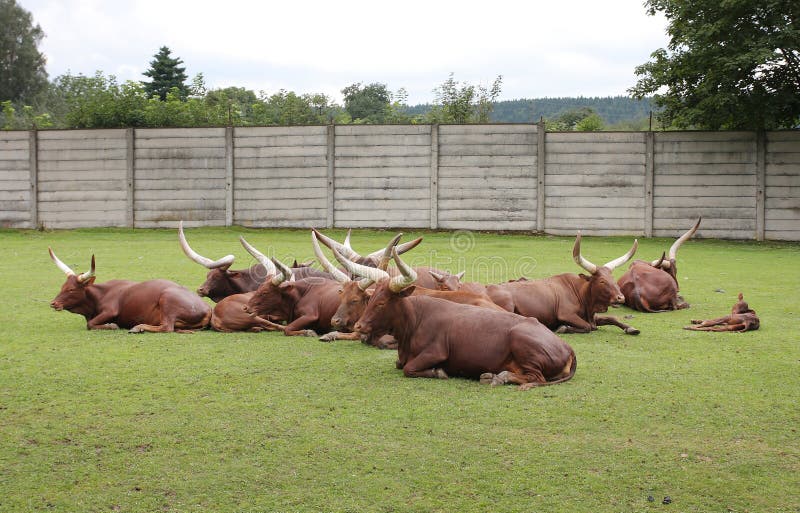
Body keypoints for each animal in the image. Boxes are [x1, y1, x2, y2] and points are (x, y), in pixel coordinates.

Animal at [48, 248, 211, 333]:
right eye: (62, 287)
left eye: (71, 289)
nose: (53, 303)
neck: (99, 295)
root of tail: (208, 308)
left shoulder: (110, 310)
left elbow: (91, 324)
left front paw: (111, 325)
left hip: (167, 298)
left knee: (167, 327)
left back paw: (138, 327)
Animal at [337, 246, 576, 389]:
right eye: (371, 298)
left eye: (381, 302)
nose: (358, 326)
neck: (416, 319)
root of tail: (567, 347)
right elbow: (399, 364)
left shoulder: (436, 352)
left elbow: (407, 368)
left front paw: (439, 372)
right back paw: (493, 376)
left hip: (522, 342)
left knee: (537, 378)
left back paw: (500, 377)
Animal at [488, 234, 641, 334]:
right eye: (602, 281)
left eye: (613, 278)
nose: (621, 298)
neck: (581, 294)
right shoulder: (566, 314)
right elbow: (588, 327)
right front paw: (563, 328)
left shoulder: (591, 315)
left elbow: (611, 318)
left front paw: (631, 328)